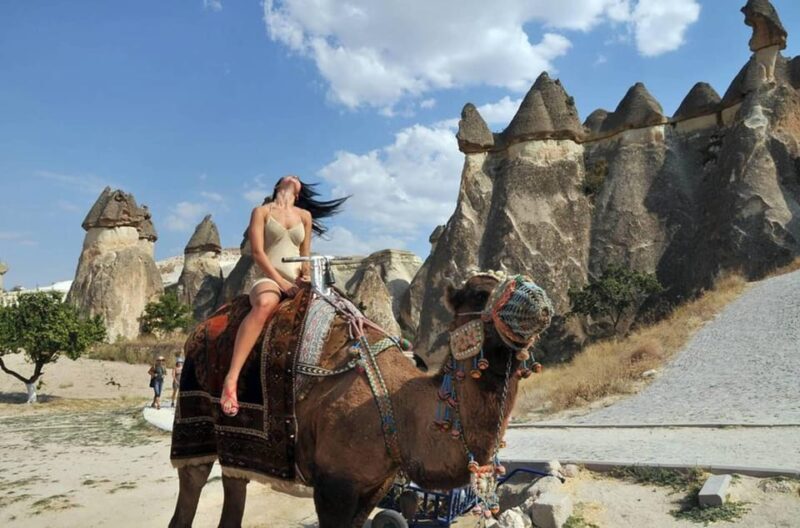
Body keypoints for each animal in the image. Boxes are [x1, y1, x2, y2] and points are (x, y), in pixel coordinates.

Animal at [169, 271, 552, 528]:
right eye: (481, 294)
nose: (542, 303)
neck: (398, 411)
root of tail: (200, 327)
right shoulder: (333, 486)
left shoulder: (374, 486)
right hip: (193, 415)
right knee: (190, 489)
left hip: (238, 450)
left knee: (234, 485)